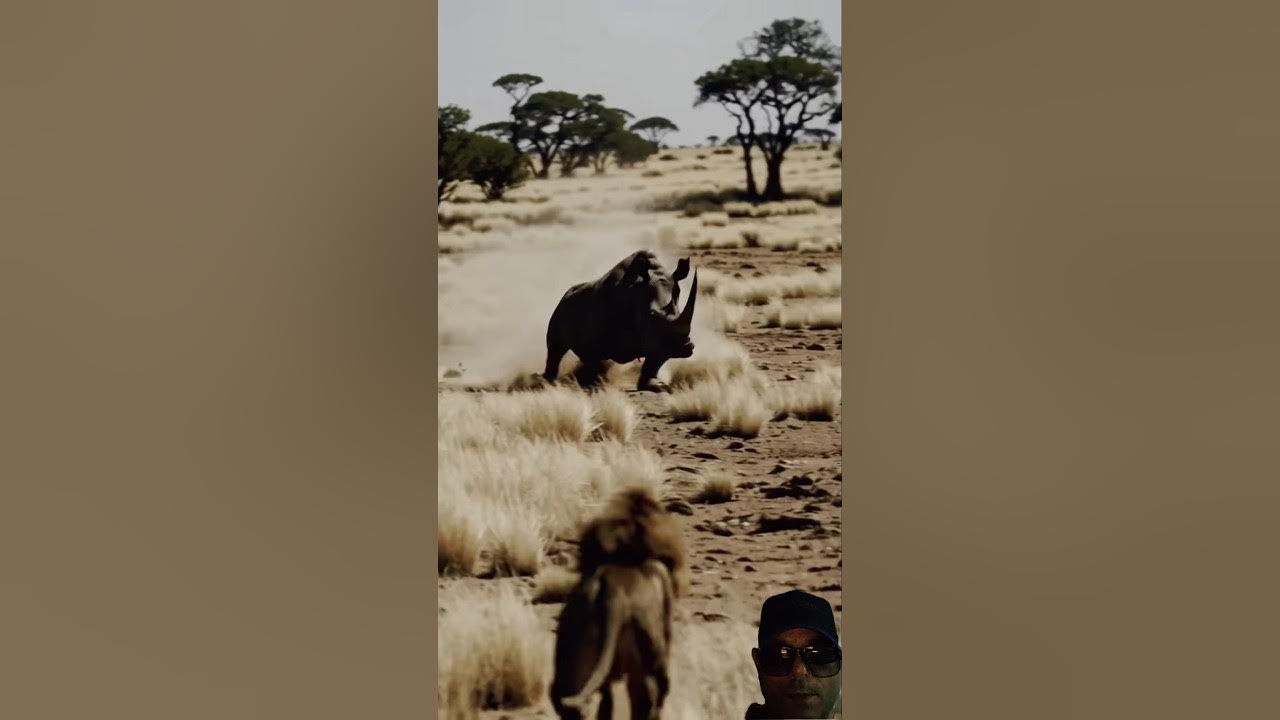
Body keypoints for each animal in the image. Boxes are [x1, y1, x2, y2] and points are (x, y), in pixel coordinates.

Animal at [543, 250, 698, 393]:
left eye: (678, 312)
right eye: (652, 314)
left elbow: (654, 361)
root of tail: (567, 293)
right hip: (561, 307)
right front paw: (597, 384)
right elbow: (593, 359)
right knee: (556, 348)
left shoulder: (658, 340)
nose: (686, 347)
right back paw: (549, 381)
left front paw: (657, 386)